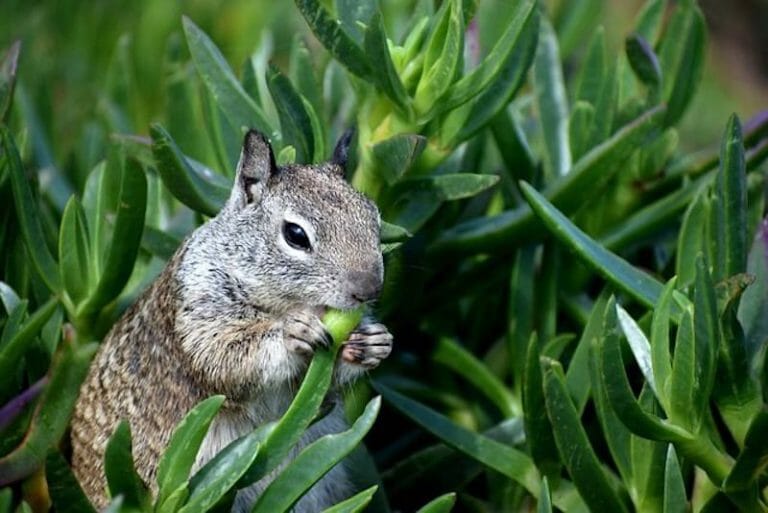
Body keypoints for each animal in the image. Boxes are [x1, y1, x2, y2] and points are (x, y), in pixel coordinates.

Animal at [70, 129, 393, 511]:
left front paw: (372, 343)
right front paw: (291, 335)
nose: (370, 289)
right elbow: (226, 357)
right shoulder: (198, 312)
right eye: (296, 235)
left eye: (375, 219)